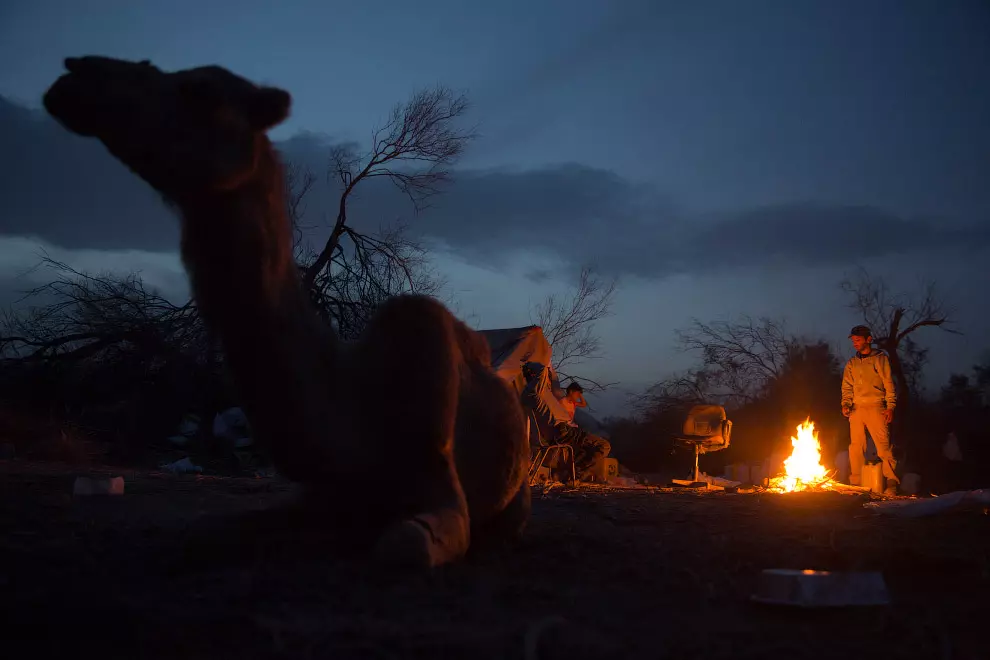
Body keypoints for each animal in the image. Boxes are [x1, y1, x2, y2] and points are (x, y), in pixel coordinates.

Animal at [44, 56, 536, 568]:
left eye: (202, 91)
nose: (78, 74)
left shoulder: (438, 486)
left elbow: (406, 544)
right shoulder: (322, 495)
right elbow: (210, 529)